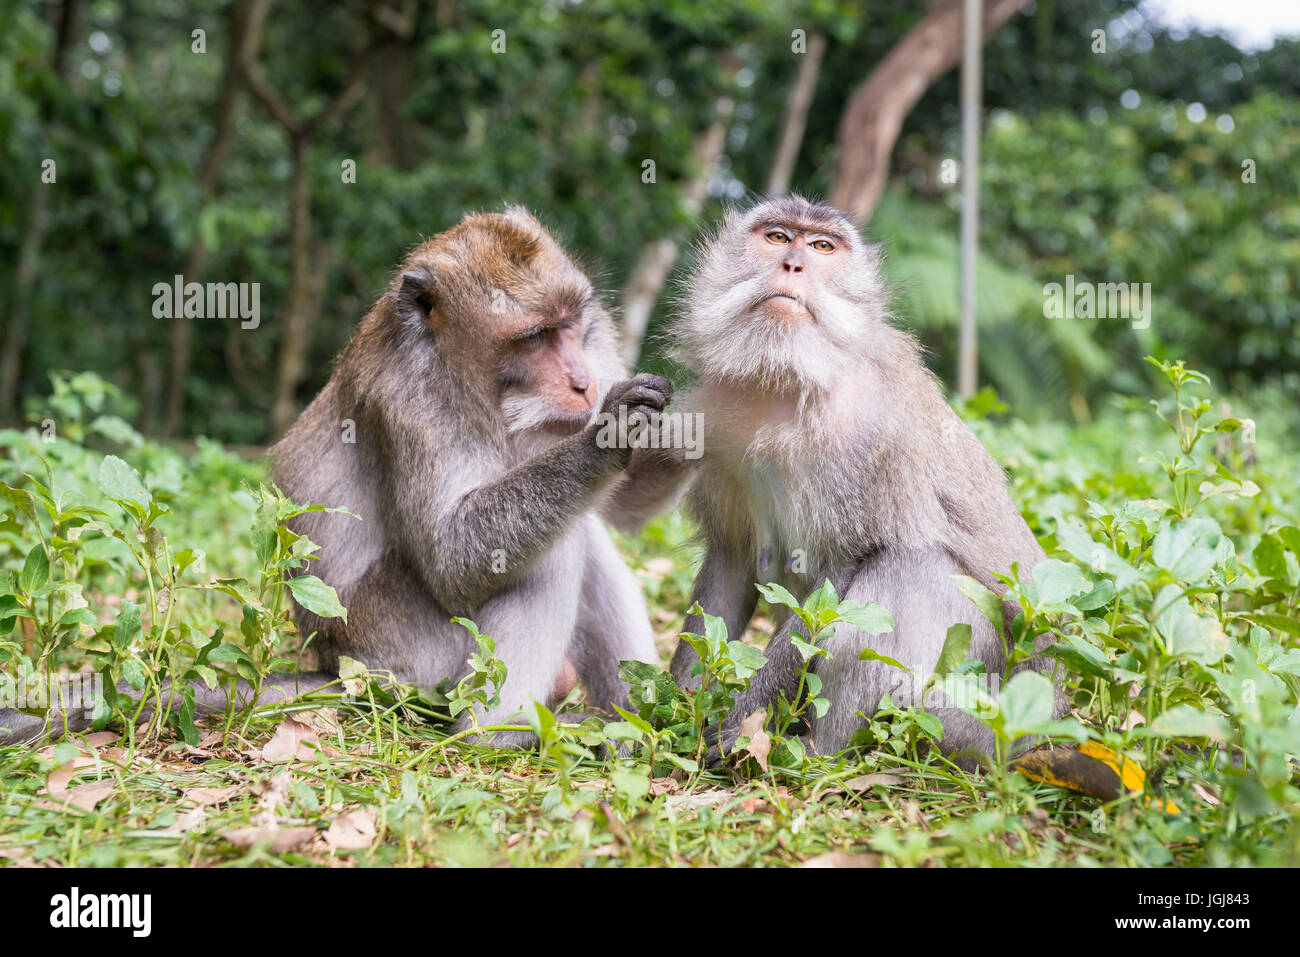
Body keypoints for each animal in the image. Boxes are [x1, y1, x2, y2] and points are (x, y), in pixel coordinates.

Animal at [0, 209, 685, 749]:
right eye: (536, 336)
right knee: (556, 552)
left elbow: (620, 510)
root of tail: (341, 666)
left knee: (584, 534)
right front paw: (606, 436)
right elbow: (455, 560)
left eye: (570, 326)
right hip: (414, 654)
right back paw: (499, 734)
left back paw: (646, 712)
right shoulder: (408, 406)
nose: (583, 383)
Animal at [666, 195, 1065, 765]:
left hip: (969, 721)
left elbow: (841, 577)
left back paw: (818, 752)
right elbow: (731, 564)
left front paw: (739, 723)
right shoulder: (713, 428)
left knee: (908, 566)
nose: (793, 265)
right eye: (777, 236)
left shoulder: (873, 434)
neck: (786, 384)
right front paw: (672, 705)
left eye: (822, 246)